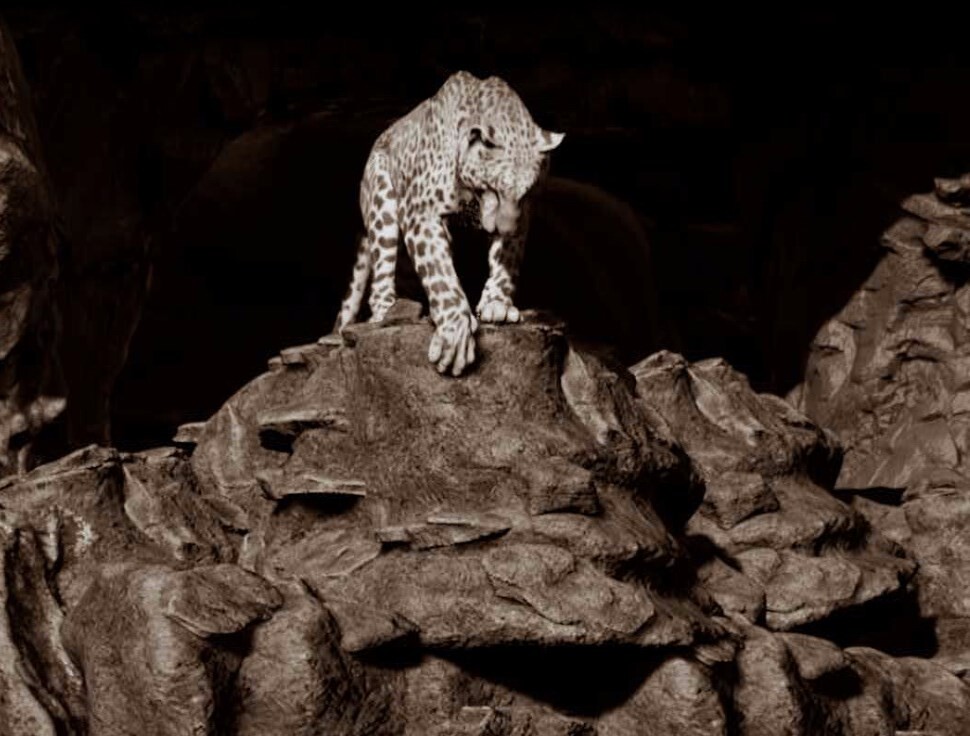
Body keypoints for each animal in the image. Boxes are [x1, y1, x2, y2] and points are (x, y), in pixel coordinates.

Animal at [331, 70, 564, 376]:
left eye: (524, 193)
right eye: (495, 189)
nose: (506, 228)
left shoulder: (523, 217)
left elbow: (506, 260)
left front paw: (497, 303)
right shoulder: (421, 212)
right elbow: (440, 275)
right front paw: (455, 333)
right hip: (382, 204)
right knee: (381, 274)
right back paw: (386, 311)